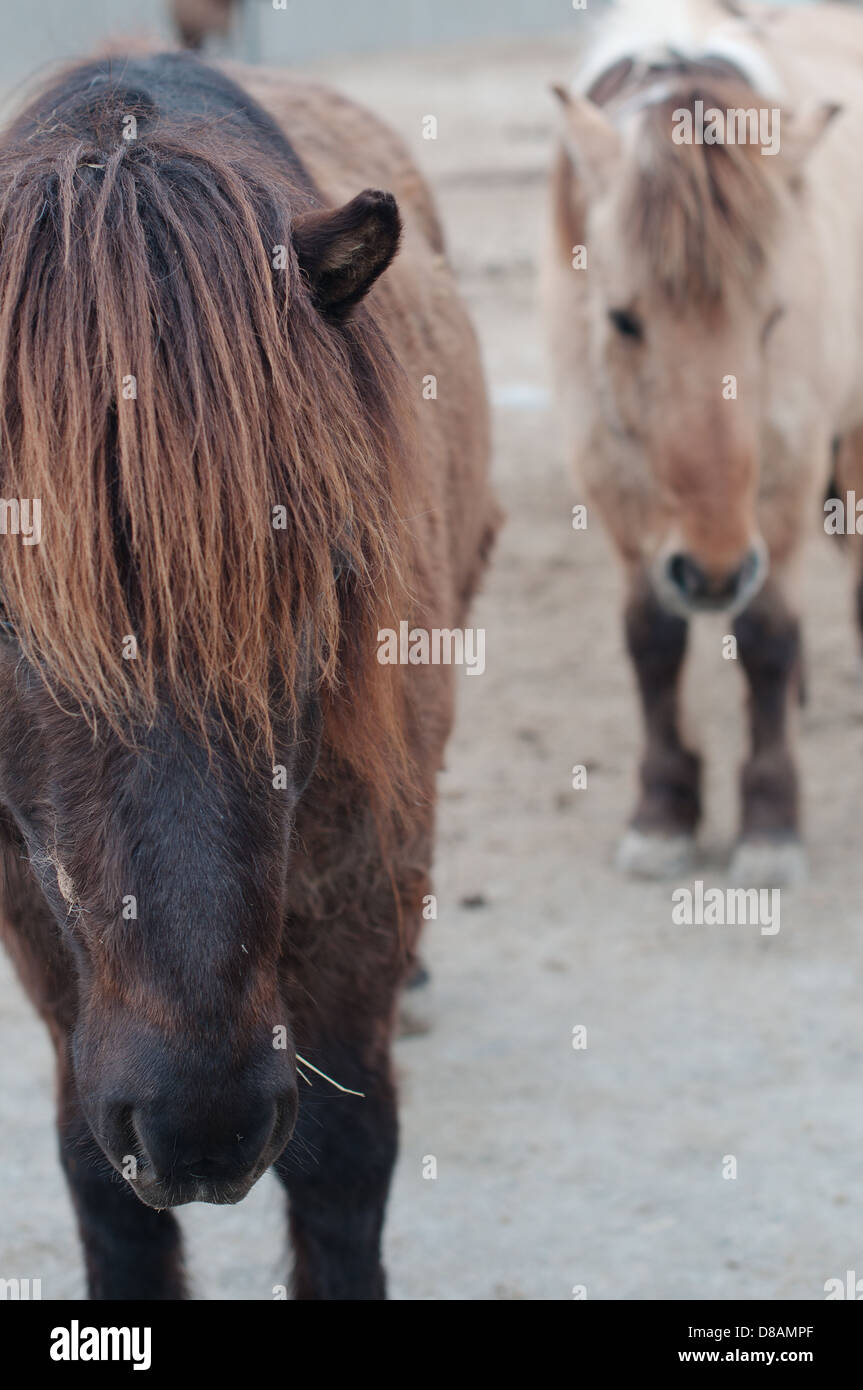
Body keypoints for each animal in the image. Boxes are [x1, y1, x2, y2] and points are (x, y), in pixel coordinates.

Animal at [0, 49, 497, 1299]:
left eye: (324, 567)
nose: (201, 1124)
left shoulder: (365, 878)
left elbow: (342, 1166)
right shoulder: (41, 925)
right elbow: (101, 1183)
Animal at [542, 0, 863, 886]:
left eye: (773, 316)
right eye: (621, 319)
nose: (714, 571)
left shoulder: (785, 476)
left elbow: (764, 637)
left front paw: (770, 823)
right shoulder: (612, 483)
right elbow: (651, 639)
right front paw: (662, 812)